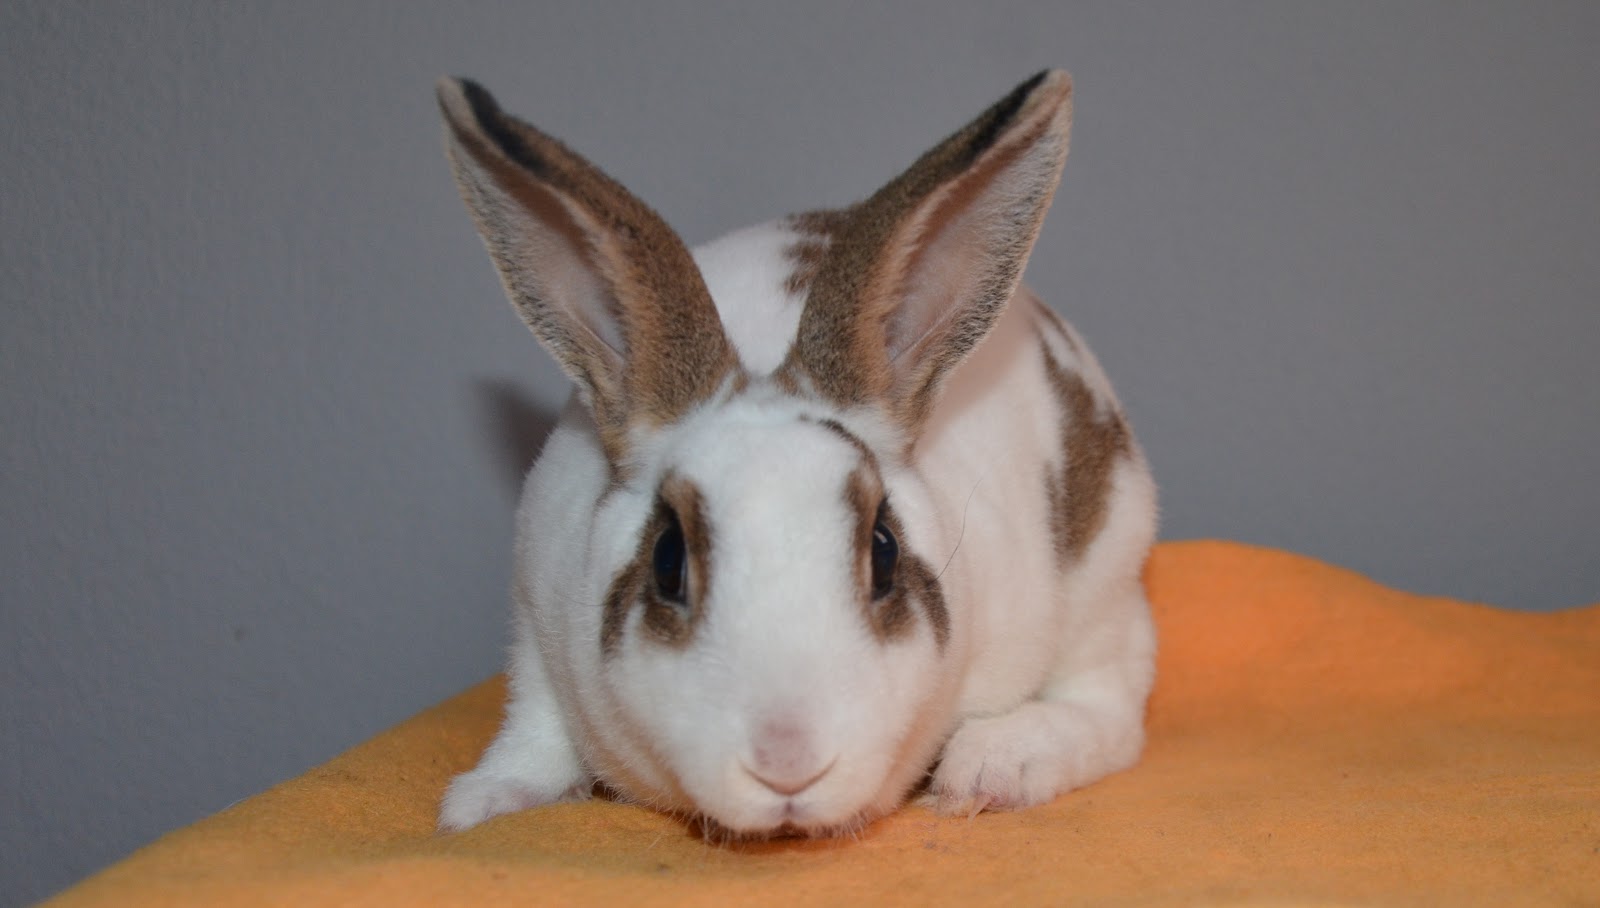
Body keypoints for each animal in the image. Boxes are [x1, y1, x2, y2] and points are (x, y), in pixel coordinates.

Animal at [434, 70, 1157, 838]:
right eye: (667, 560)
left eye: (883, 552)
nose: (788, 762)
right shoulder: (536, 619)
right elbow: (535, 727)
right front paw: (485, 802)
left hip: (1105, 585)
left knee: (1111, 708)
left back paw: (995, 765)